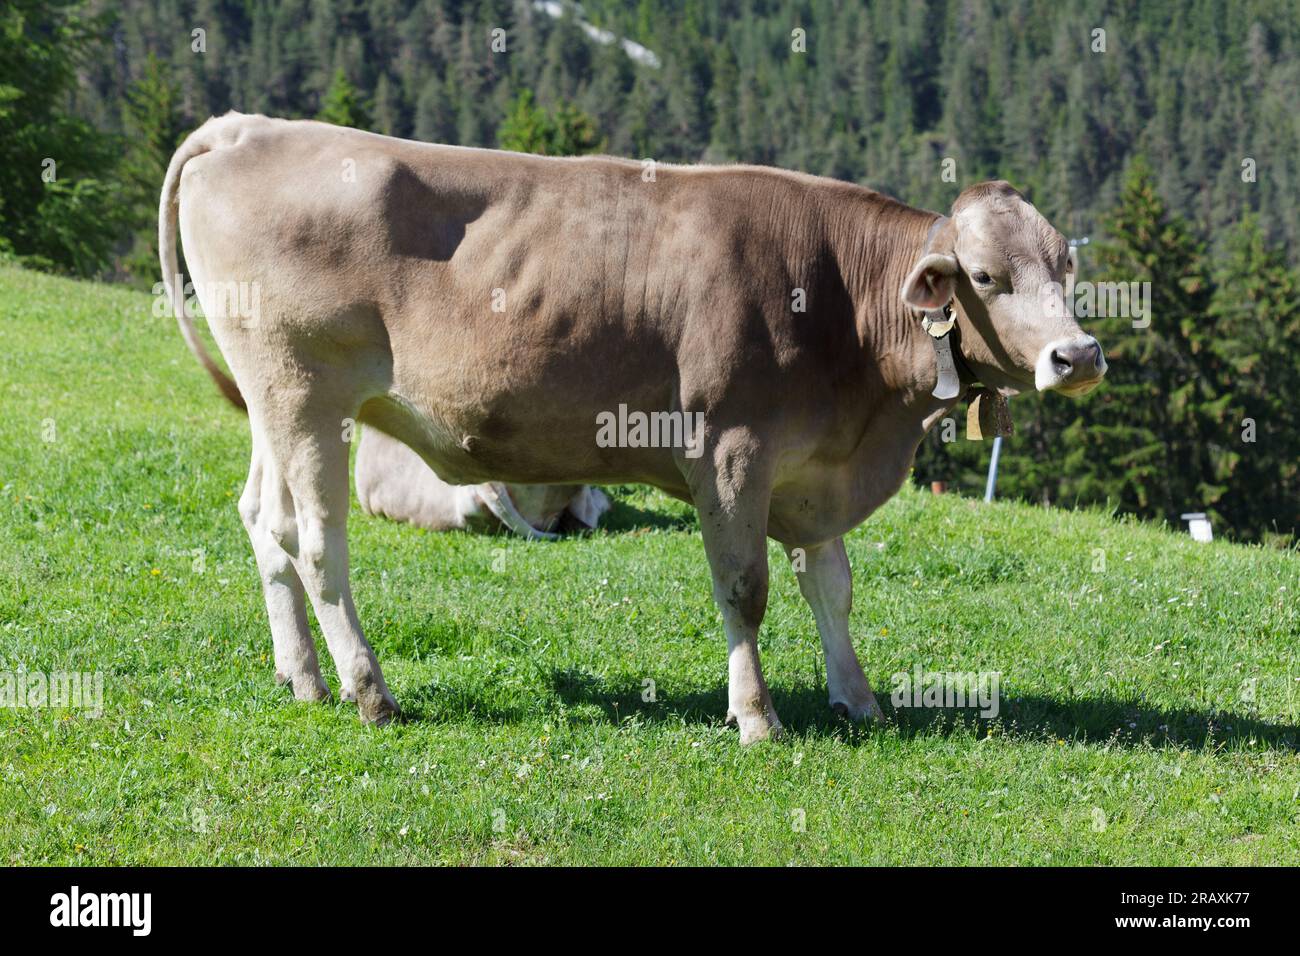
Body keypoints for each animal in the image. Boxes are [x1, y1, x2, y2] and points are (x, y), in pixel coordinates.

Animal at [160, 112, 1105, 743]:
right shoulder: (730, 450)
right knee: (318, 540)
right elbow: (745, 588)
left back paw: (303, 678)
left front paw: (859, 698)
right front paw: (756, 717)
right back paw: (368, 691)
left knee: (264, 520)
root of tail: (250, 127)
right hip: (305, 393)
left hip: (274, 403)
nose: (1079, 354)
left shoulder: (812, 465)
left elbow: (831, 585)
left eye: (1064, 265)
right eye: (985, 276)